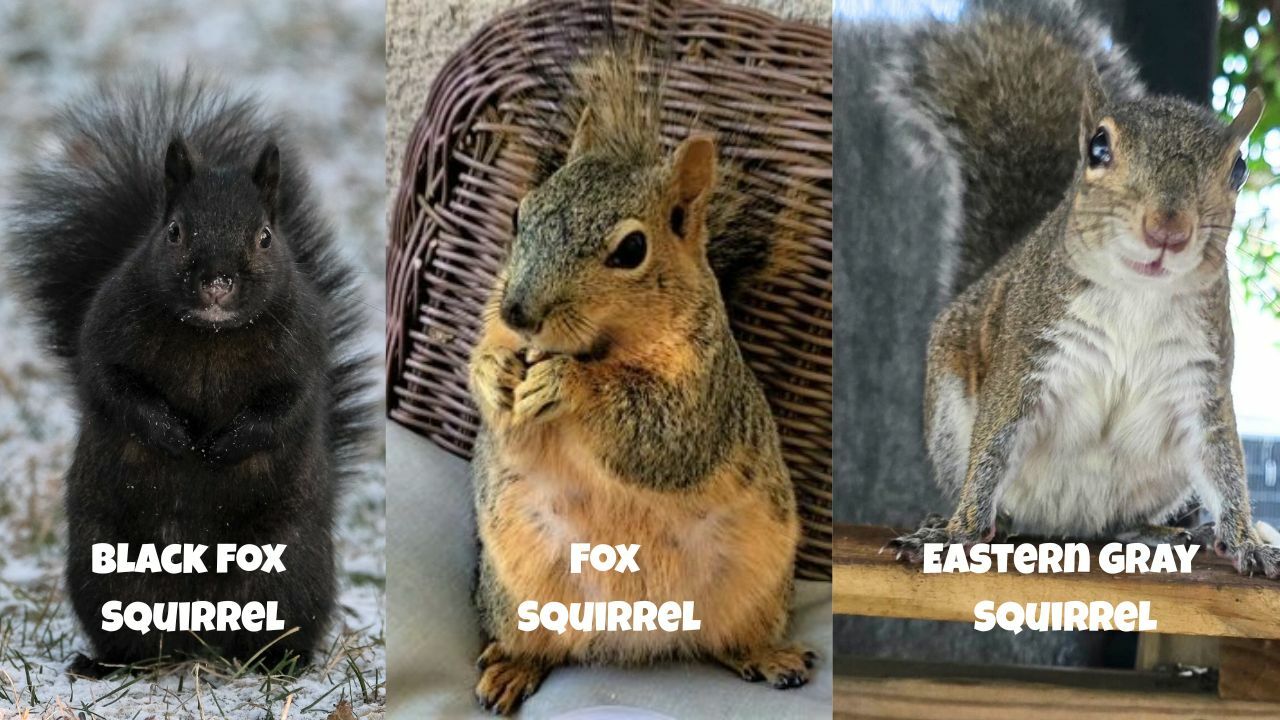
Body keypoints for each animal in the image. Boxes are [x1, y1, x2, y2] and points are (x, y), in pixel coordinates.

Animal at [7, 73, 374, 671]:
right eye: (175, 232)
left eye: (265, 236)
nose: (217, 283)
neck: (211, 336)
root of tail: (200, 631)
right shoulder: (107, 334)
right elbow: (114, 388)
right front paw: (174, 436)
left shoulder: (305, 352)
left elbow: (287, 405)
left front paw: (223, 445)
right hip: (109, 573)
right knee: (136, 638)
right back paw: (106, 665)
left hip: (286, 572)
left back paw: (277, 662)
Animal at [467, 49, 813, 715]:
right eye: (520, 214)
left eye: (631, 250)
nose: (519, 311)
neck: (597, 347)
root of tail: (636, 637)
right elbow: (504, 419)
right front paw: (493, 373)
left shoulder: (704, 396)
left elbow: (662, 439)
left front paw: (569, 386)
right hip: (519, 592)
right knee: (539, 645)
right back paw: (512, 667)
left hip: (756, 584)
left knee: (727, 640)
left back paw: (768, 656)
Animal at [880, 1, 1280, 577]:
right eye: (1098, 146)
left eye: (1240, 168)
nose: (1168, 229)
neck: (1138, 293)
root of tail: (1067, 526)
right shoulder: (1026, 356)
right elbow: (994, 445)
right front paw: (958, 532)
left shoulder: (1200, 380)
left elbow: (1223, 464)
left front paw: (1246, 539)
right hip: (954, 420)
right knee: (1000, 499)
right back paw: (977, 524)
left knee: (1117, 524)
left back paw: (1170, 533)